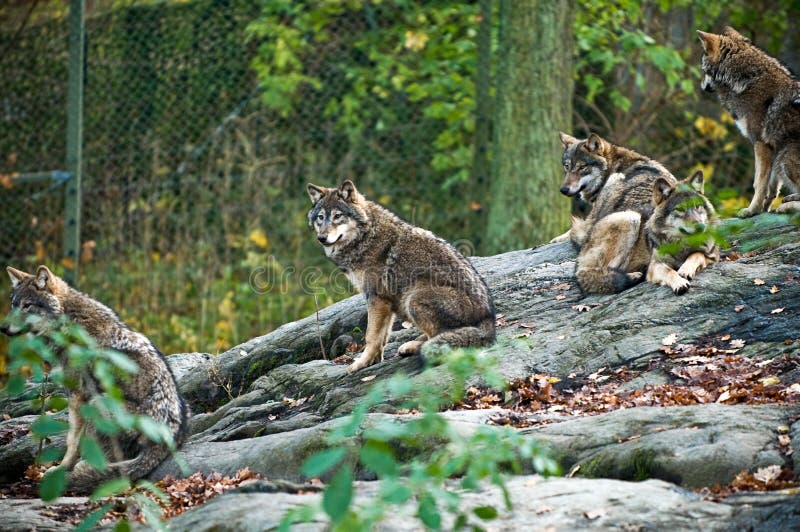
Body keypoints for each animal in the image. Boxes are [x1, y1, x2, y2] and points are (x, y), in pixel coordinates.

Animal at [1, 266, 188, 493]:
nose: (3, 328)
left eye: (27, 306)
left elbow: (72, 441)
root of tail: (165, 440)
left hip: (98, 404)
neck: (67, 321)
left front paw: (60, 469)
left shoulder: (77, 396)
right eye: (13, 305)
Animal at [307, 180, 495, 372]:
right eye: (320, 217)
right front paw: (374, 361)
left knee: (439, 337)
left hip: (413, 298)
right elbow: (382, 338)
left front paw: (359, 364)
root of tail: (488, 320)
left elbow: (371, 337)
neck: (365, 235)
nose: (322, 237)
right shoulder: (385, 303)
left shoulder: (377, 298)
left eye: (337, 216)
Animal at [554, 132, 677, 294]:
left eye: (582, 167)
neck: (615, 163)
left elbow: (574, 230)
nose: (563, 190)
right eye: (567, 166)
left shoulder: (591, 220)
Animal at [697, 27, 800, 217]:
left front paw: (752, 210)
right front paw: (764, 208)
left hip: (785, 155)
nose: (702, 86)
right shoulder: (771, 147)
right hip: (781, 156)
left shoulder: (760, 143)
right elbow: (771, 188)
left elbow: (758, 183)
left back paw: (787, 206)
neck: (748, 79)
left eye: (703, 69)